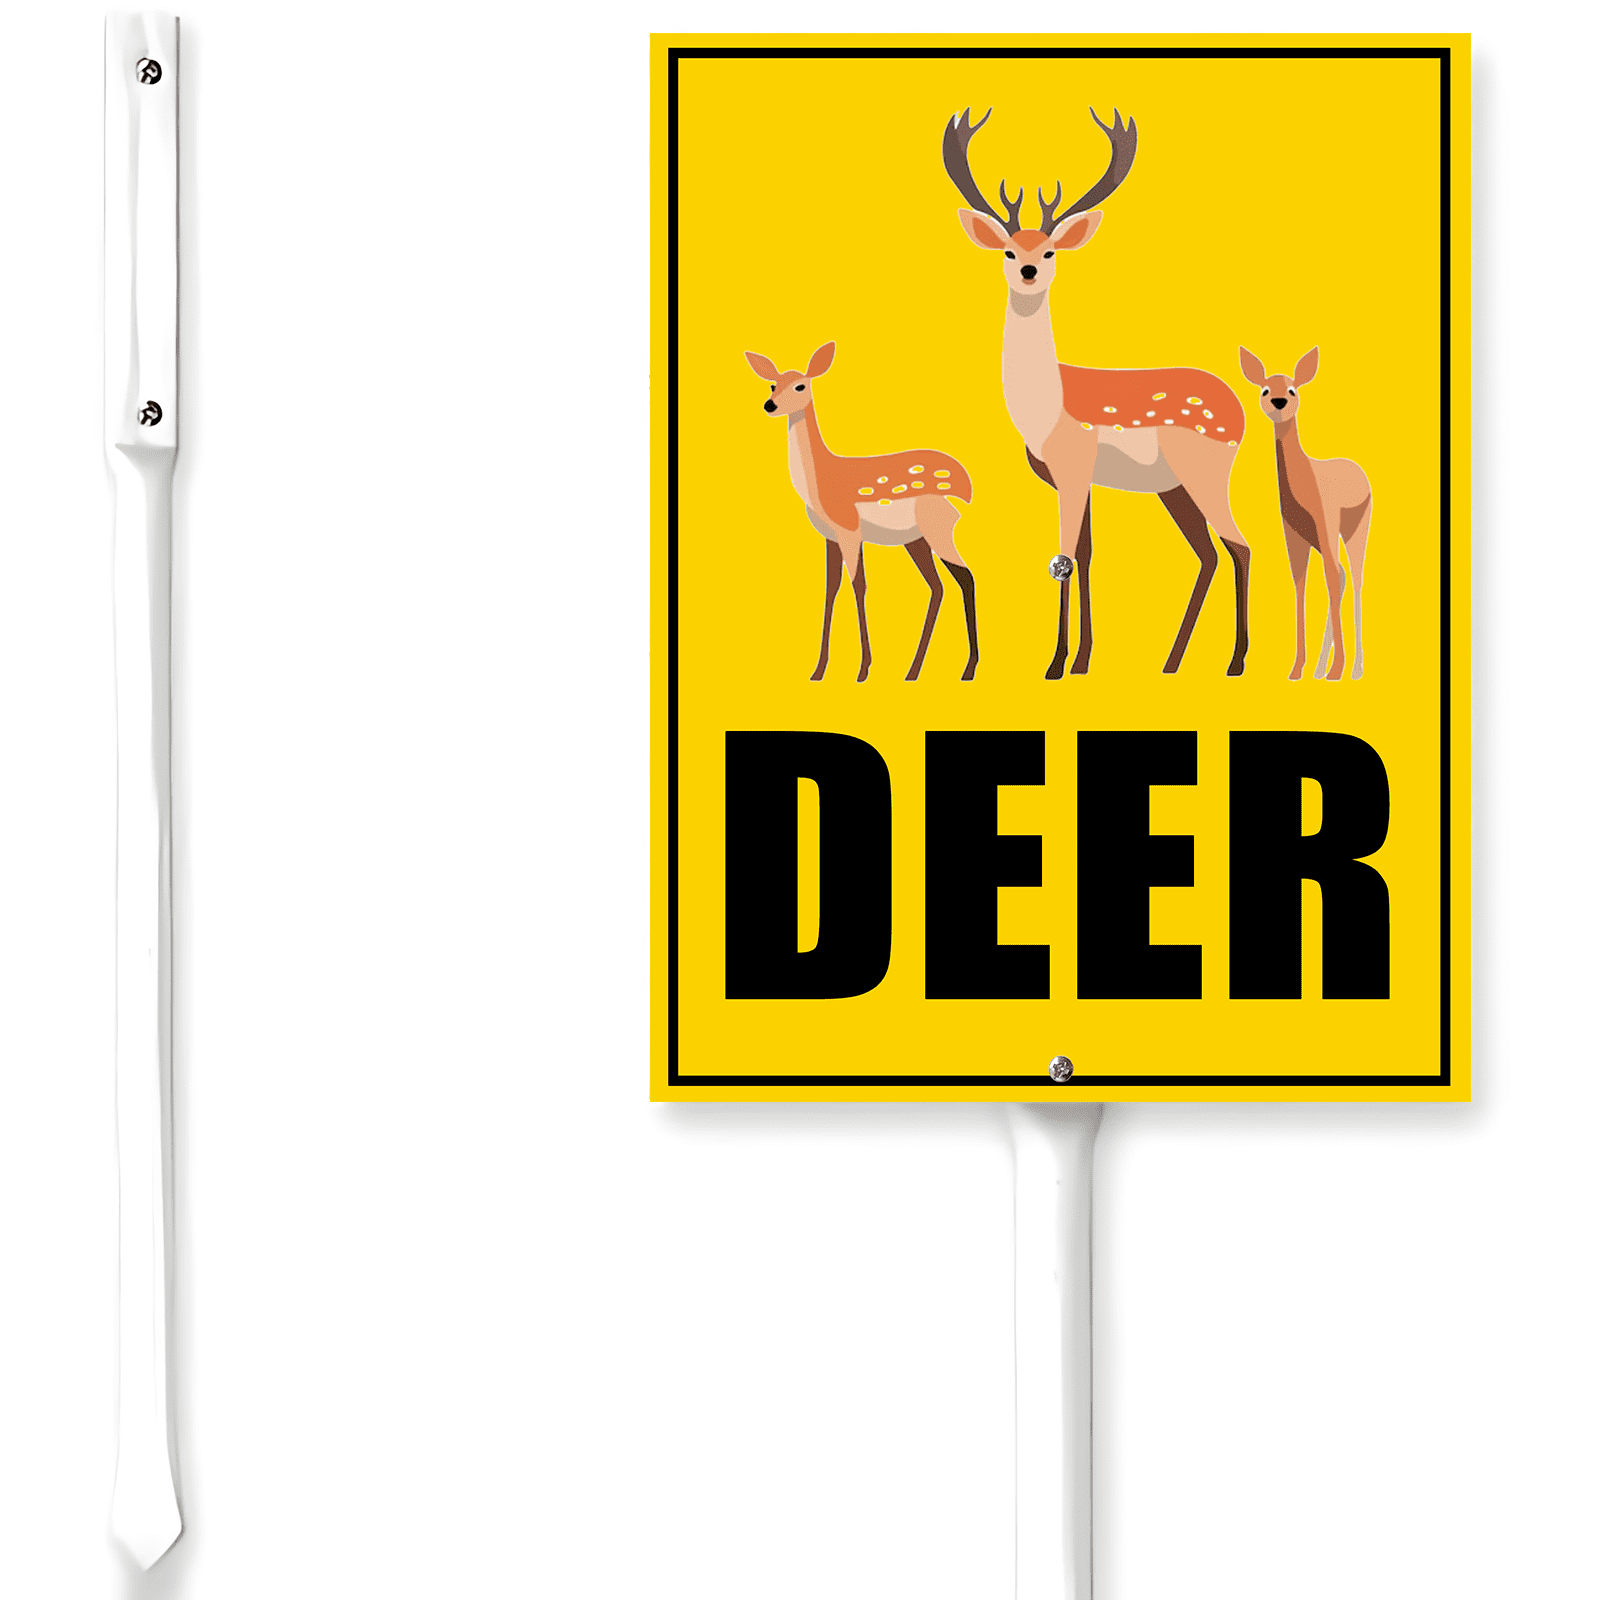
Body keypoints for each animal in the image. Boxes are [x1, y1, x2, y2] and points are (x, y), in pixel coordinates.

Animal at [744, 342, 979, 683]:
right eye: (773, 385)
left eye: (801, 385)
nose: (769, 405)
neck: (820, 484)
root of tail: (966, 488)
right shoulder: (829, 536)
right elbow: (830, 589)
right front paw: (819, 670)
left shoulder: (849, 529)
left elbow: (858, 585)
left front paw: (863, 669)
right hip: (915, 539)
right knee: (937, 586)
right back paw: (913, 670)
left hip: (936, 526)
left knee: (965, 576)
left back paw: (968, 668)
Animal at [943, 107, 1251, 678]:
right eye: (1008, 249)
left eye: (1049, 249)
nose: (1028, 269)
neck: (1044, 413)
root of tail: (1241, 412)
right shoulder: (1072, 477)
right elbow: (1081, 554)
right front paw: (1081, 660)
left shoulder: (1073, 464)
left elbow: (1064, 557)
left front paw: (1055, 662)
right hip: (1172, 487)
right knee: (1209, 553)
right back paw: (1172, 660)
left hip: (1206, 470)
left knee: (1238, 545)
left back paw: (1236, 661)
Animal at [1239, 347, 1373, 681]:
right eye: (1264, 389)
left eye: (1292, 389)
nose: (1279, 402)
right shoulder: (1294, 536)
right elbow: (1300, 584)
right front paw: (1298, 667)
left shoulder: (1325, 525)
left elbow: (1329, 578)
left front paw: (1337, 669)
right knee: (1341, 576)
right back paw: (1320, 668)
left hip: (1353, 532)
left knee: (1352, 578)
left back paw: (1354, 668)